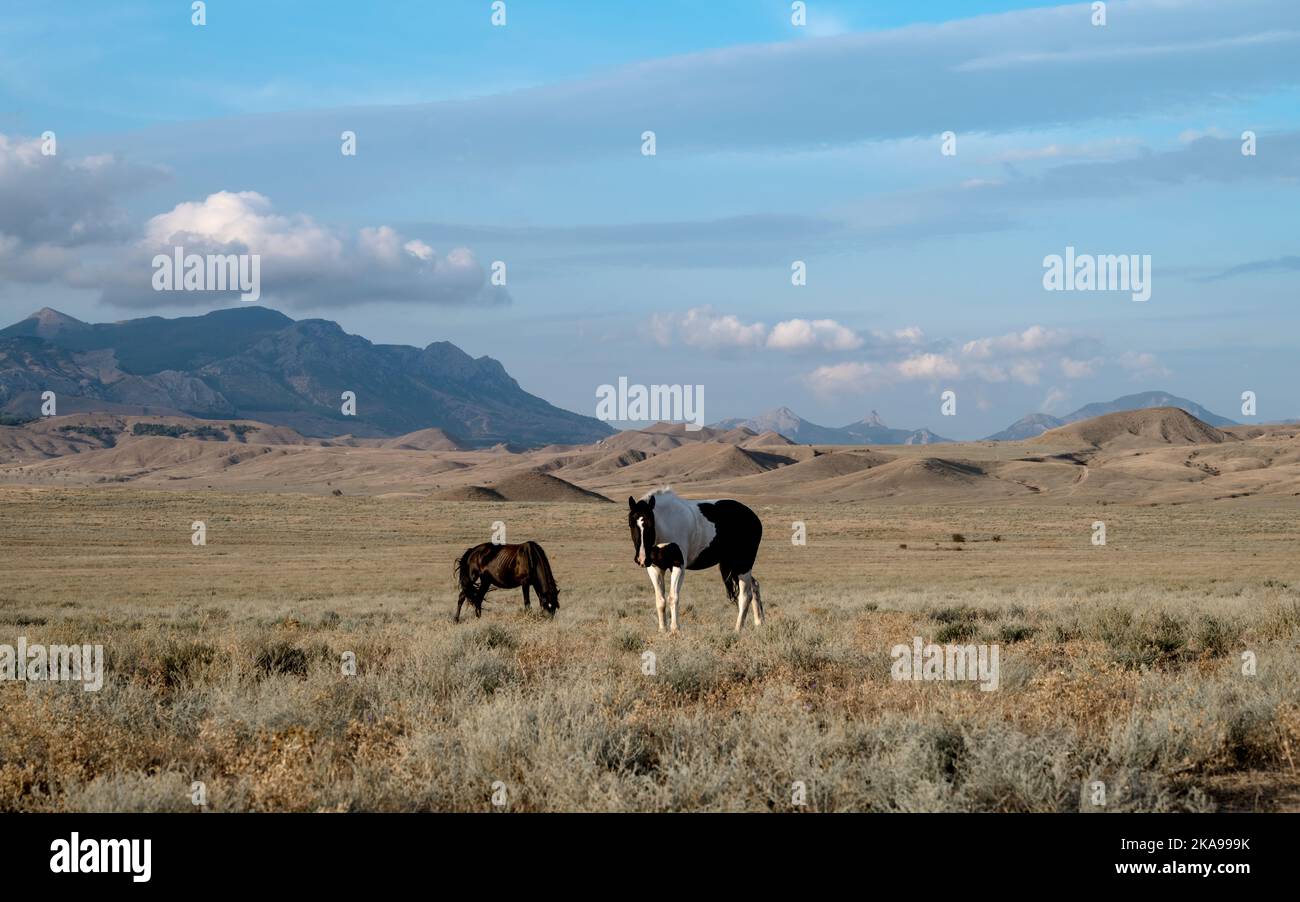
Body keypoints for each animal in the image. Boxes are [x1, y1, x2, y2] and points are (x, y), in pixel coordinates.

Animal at [627, 488, 764, 633]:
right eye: (631, 523)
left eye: (651, 524)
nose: (642, 558)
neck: (668, 524)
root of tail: (754, 517)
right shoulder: (655, 568)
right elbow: (660, 600)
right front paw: (662, 629)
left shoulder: (678, 566)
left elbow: (673, 597)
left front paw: (675, 629)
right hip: (735, 565)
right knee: (754, 586)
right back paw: (759, 622)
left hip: (744, 565)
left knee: (745, 595)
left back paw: (738, 629)